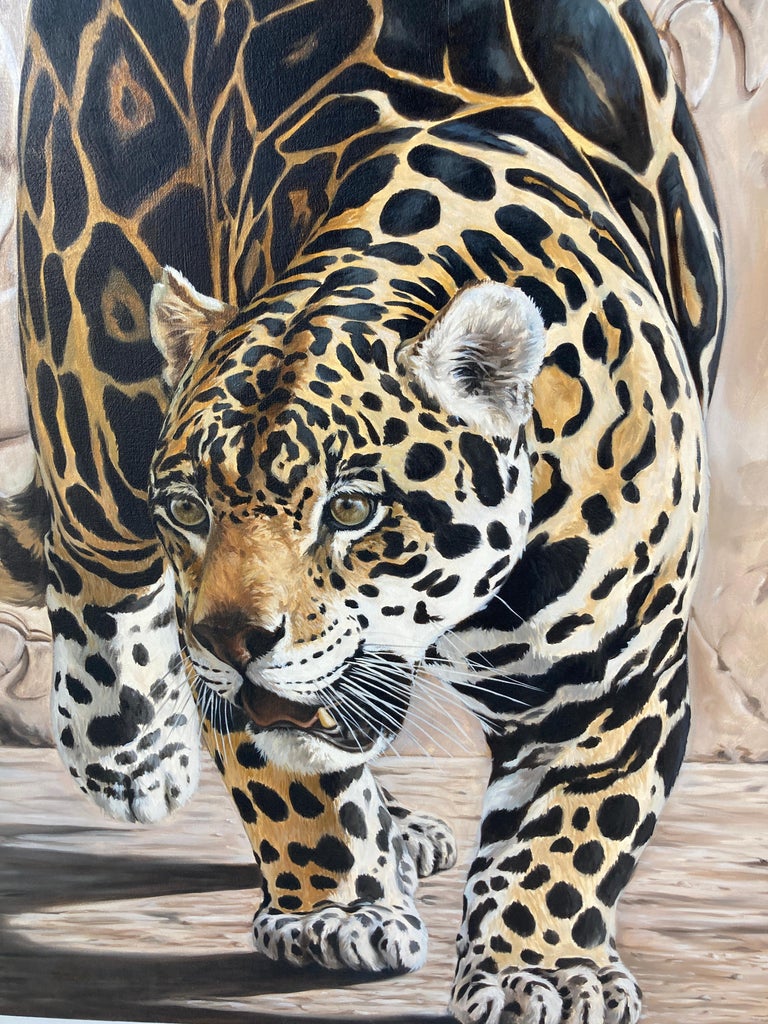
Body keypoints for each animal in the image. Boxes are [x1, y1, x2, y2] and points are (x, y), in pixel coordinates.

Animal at [0, 1, 724, 1021]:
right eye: (187, 506)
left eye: (349, 509)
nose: (229, 640)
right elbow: (284, 777)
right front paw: (337, 911)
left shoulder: (612, 675)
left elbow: (569, 834)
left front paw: (541, 971)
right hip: (95, 351)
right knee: (90, 555)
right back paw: (135, 751)